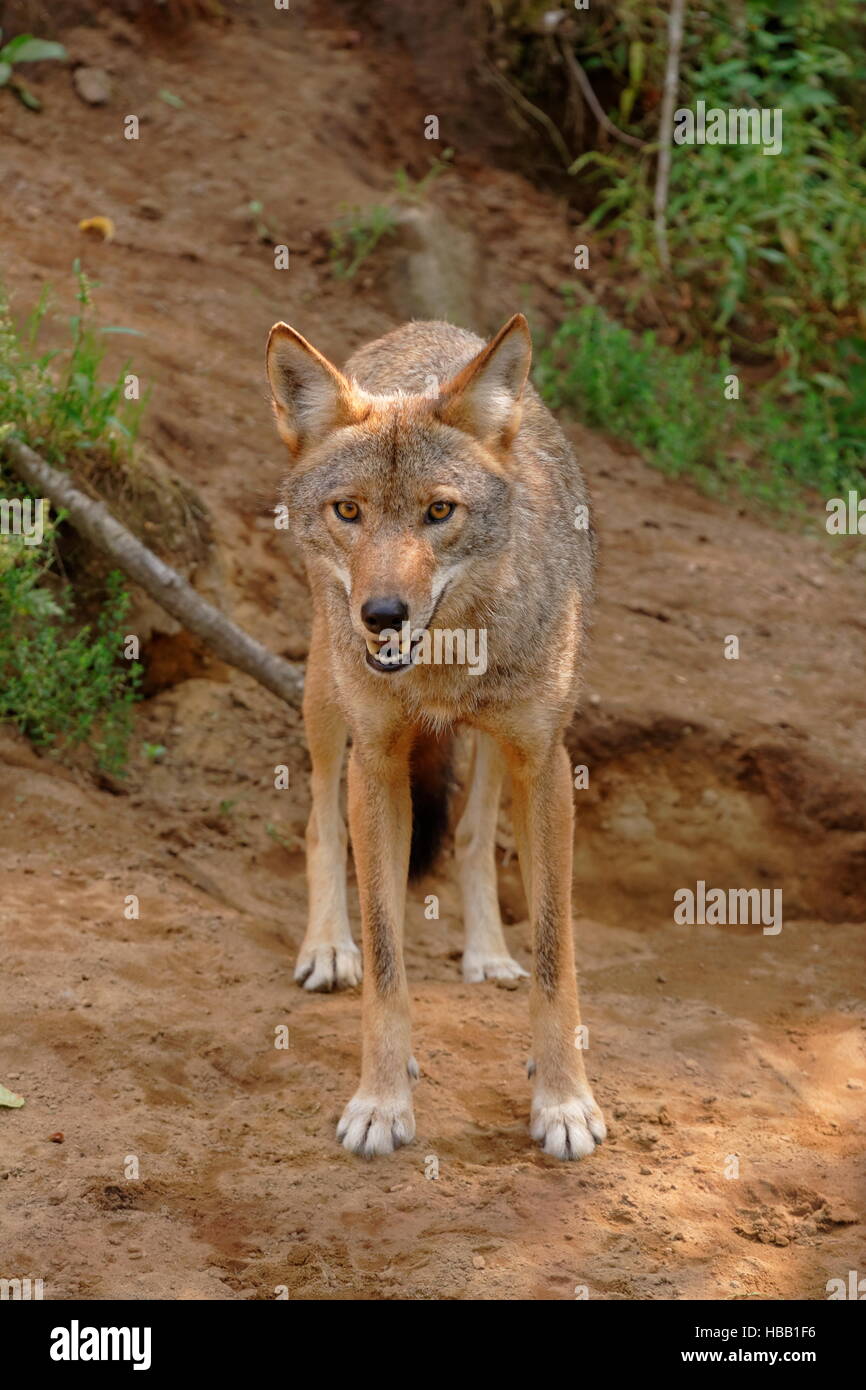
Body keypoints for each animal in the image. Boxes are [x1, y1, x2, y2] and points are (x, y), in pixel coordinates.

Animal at [266, 313, 606, 1160]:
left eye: (440, 512)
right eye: (349, 511)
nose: (383, 615)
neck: (447, 661)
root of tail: (418, 328)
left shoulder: (545, 764)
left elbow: (555, 956)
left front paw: (564, 1102)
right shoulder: (379, 765)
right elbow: (388, 958)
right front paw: (382, 1102)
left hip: (493, 749)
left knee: (475, 835)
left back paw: (486, 953)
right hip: (326, 692)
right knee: (319, 820)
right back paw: (328, 947)